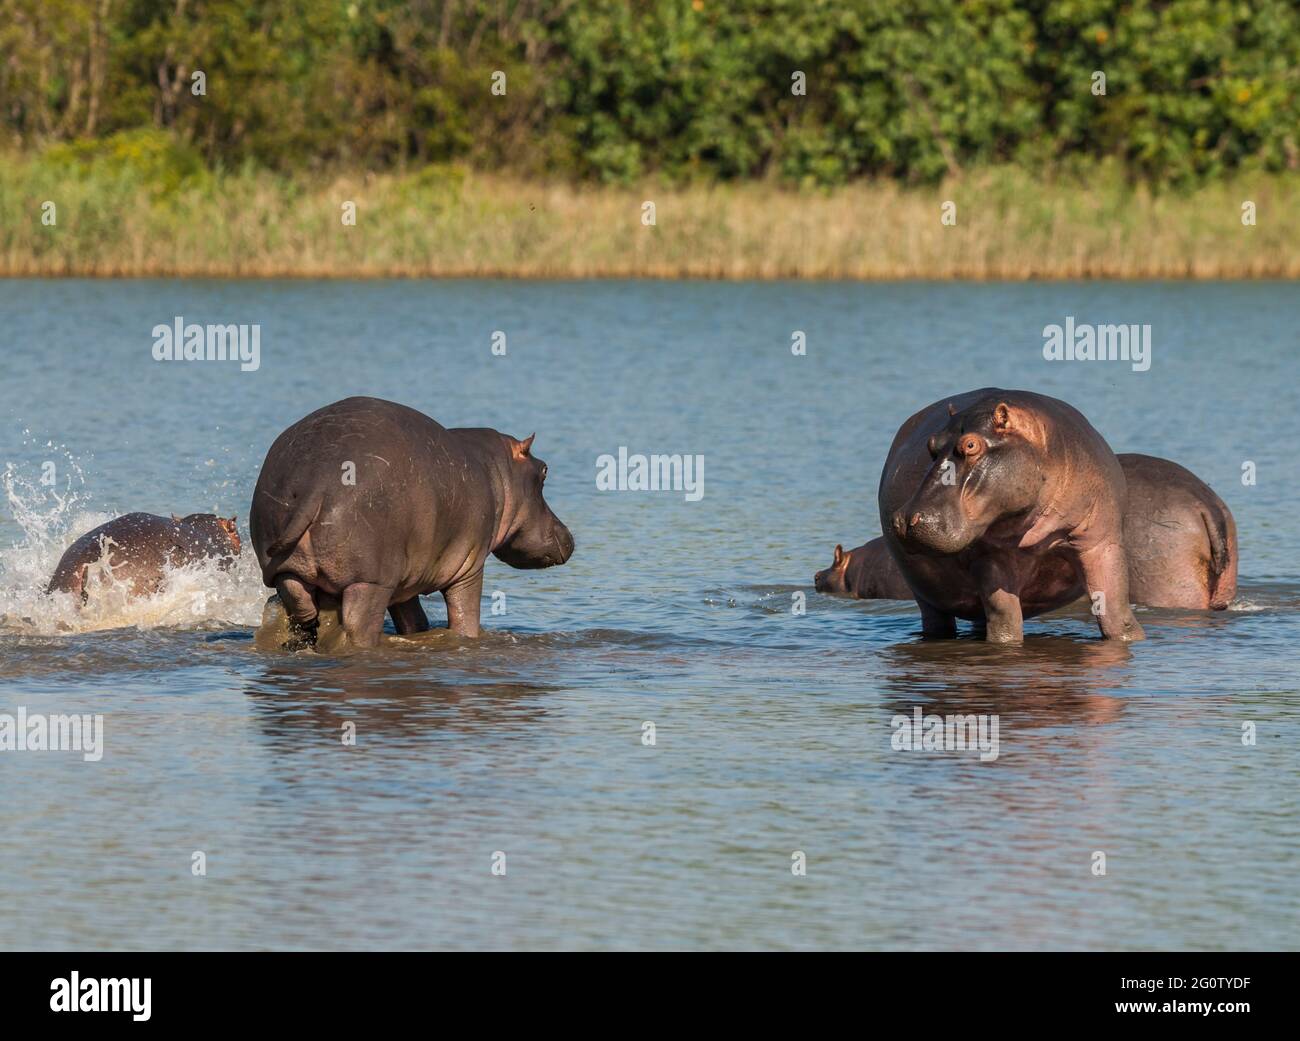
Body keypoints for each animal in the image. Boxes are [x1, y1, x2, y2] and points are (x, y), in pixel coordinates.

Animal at [249, 396, 575, 649]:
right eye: (544, 471)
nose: (569, 537)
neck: (497, 470)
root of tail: (316, 480)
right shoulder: (470, 566)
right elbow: (464, 616)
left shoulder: (405, 580)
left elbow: (414, 620)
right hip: (370, 581)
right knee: (357, 628)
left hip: (286, 569)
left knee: (302, 608)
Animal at [880, 388, 1144, 643]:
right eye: (931, 445)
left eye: (970, 445)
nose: (905, 520)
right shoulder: (990, 557)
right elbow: (1005, 619)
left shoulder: (1101, 543)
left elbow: (1116, 612)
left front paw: (1131, 637)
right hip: (924, 594)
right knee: (938, 621)